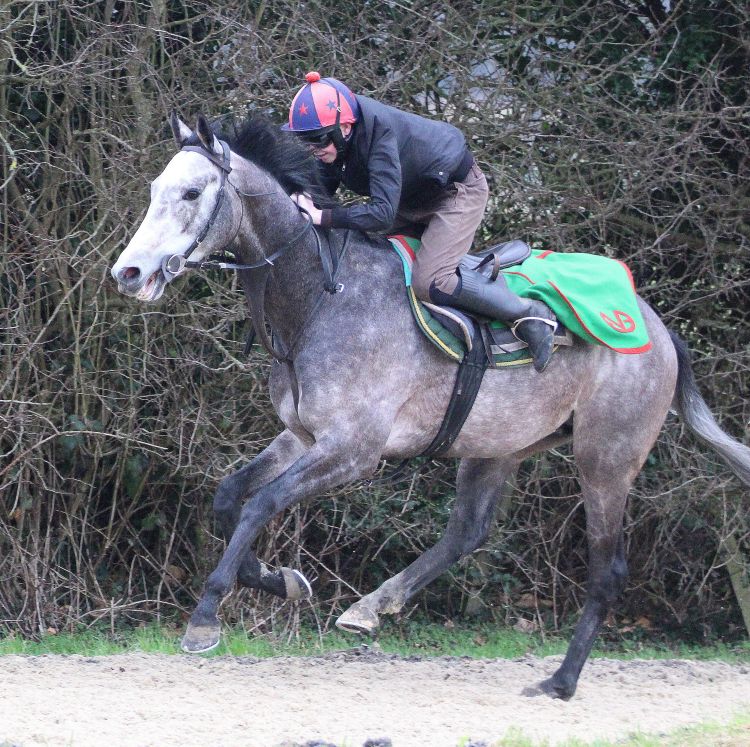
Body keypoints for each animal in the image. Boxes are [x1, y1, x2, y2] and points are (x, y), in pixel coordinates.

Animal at [110, 112, 750, 699]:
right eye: (156, 189)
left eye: (192, 193)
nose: (129, 272)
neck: (319, 298)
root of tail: (658, 329)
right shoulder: (303, 435)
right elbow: (229, 497)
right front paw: (284, 580)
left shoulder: (354, 450)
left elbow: (260, 503)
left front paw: (205, 617)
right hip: (500, 444)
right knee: (468, 531)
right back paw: (372, 606)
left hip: (606, 457)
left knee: (606, 568)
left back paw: (560, 680)